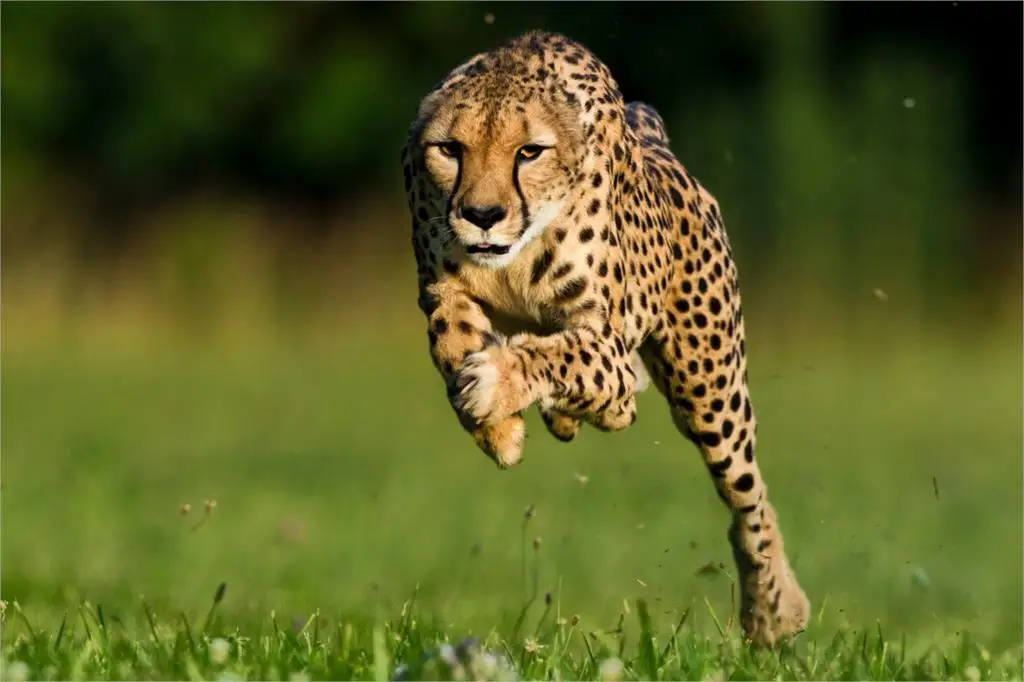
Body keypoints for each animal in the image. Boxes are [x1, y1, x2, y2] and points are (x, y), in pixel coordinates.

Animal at [400, 30, 810, 648]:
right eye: (450, 149)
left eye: (529, 152)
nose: (482, 214)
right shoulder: (442, 289)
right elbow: (451, 340)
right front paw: (498, 429)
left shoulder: (606, 344)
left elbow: (564, 355)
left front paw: (496, 385)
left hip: (708, 390)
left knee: (747, 494)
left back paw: (774, 611)